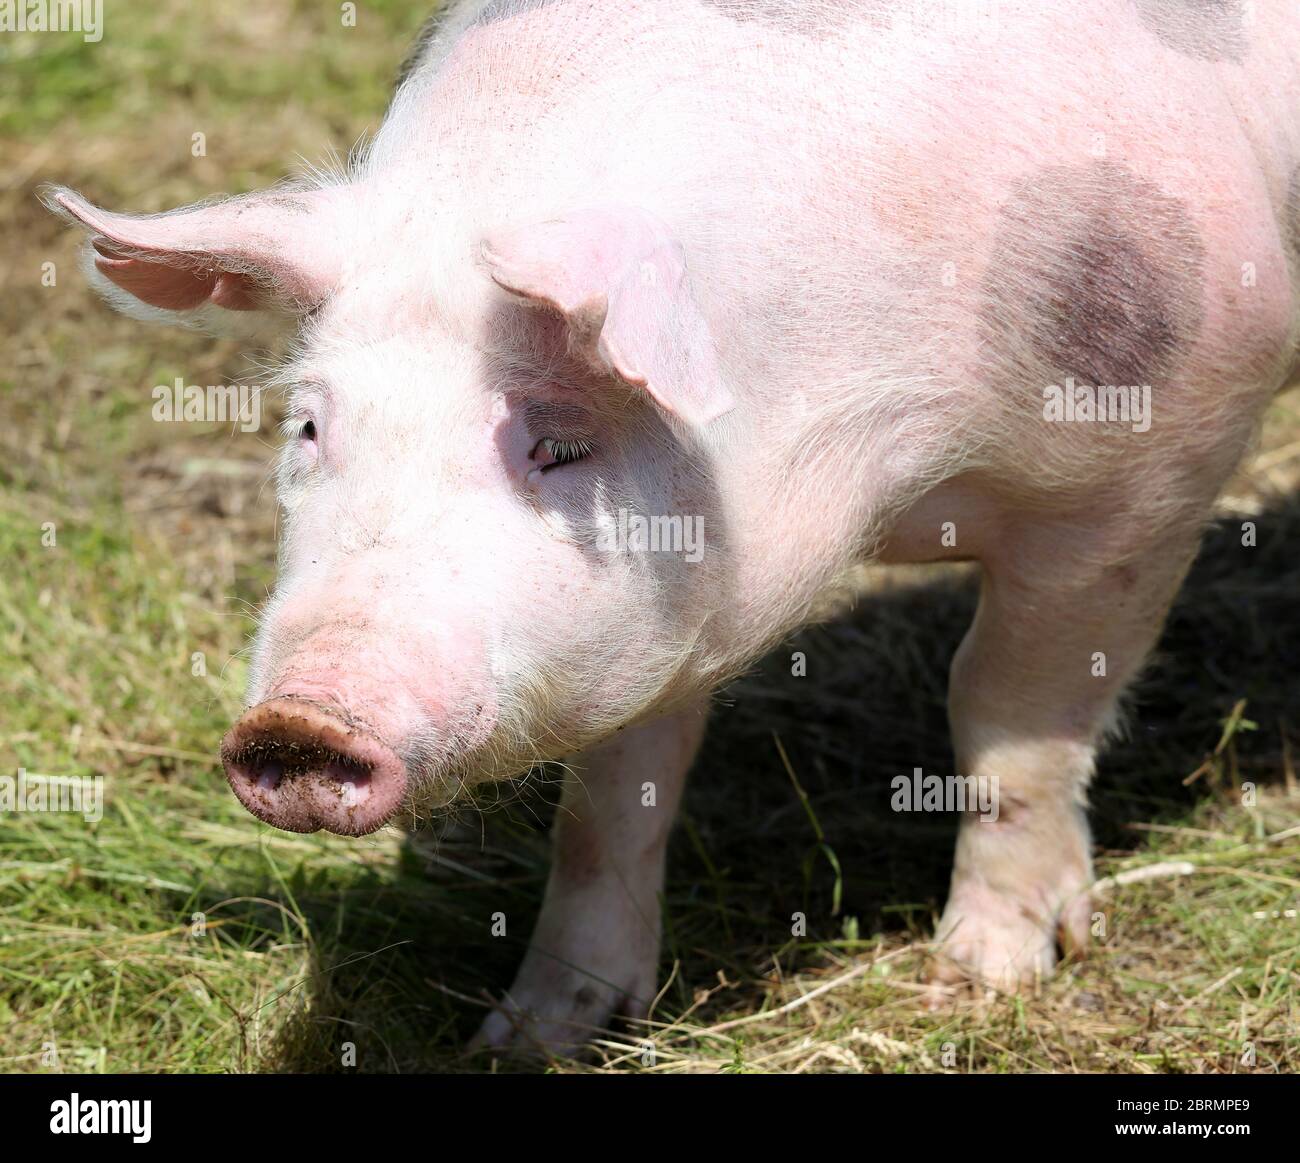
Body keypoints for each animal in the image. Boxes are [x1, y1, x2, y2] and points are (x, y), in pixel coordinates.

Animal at [43, 0, 1300, 1054]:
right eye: (309, 423)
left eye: (558, 445)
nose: (301, 717)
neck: (877, 465)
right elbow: (610, 797)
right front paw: (529, 1035)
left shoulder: (1149, 467)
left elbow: (1006, 717)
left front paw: (987, 977)